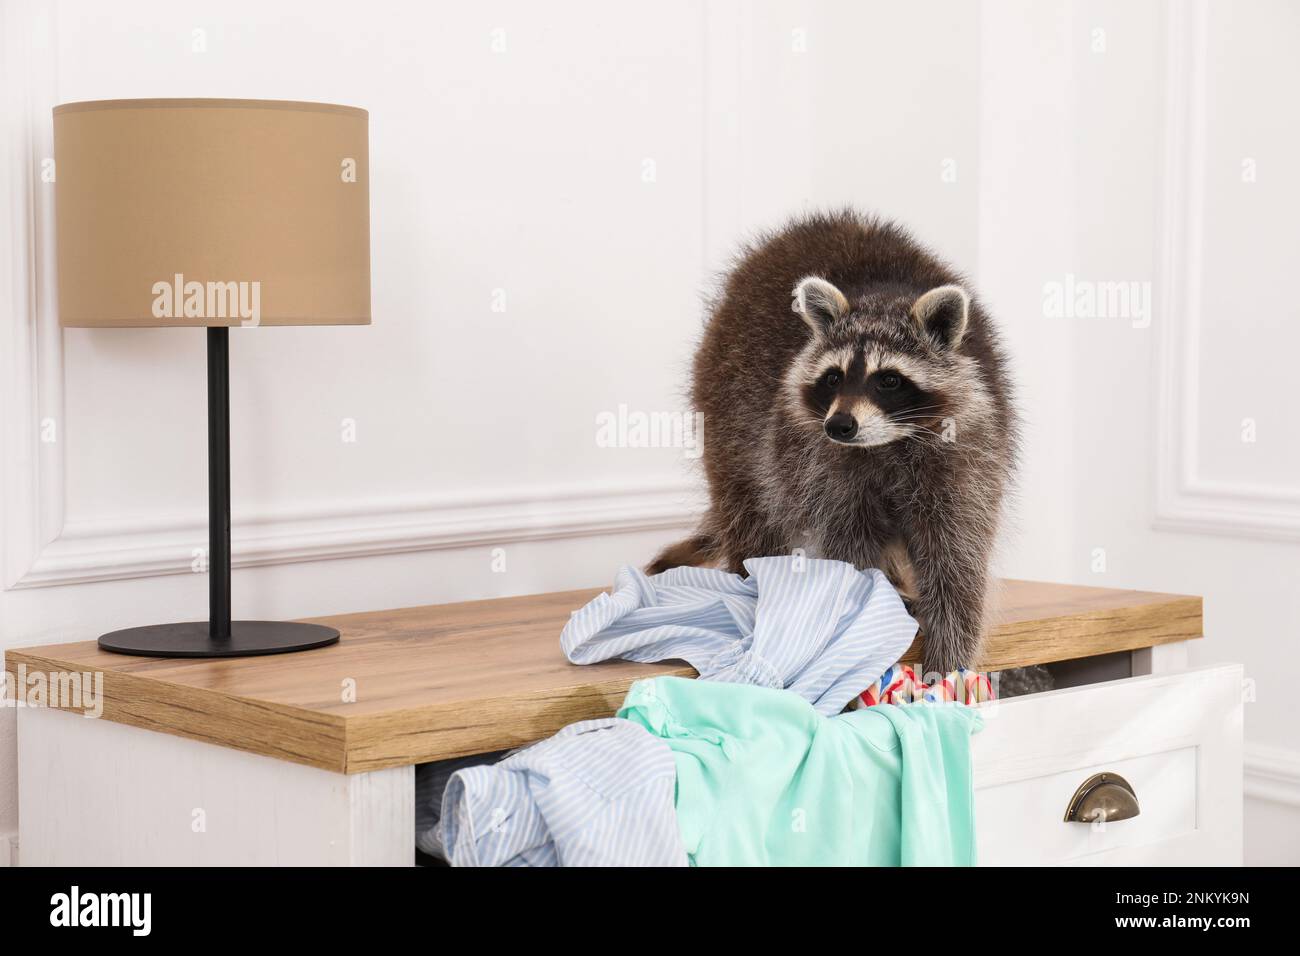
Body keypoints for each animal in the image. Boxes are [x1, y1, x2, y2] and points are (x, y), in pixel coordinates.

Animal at [649, 209, 1018, 674]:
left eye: (889, 380)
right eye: (833, 377)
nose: (840, 426)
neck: (887, 443)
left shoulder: (969, 453)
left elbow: (957, 556)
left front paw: (950, 656)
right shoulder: (822, 465)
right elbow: (848, 546)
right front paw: (867, 615)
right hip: (725, 404)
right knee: (749, 505)